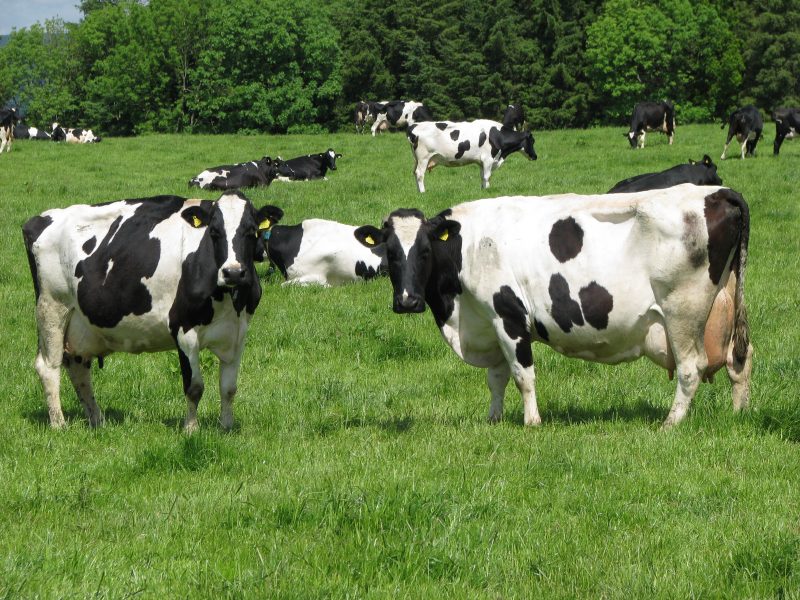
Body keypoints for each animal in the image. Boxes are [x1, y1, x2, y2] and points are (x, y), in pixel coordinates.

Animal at [22, 191, 283, 431]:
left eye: (251, 231)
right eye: (214, 232)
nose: (233, 272)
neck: (230, 298)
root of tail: (41, 218)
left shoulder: (238, 332)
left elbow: (228, 388)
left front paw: (226, 428)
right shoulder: (183, 329)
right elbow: (194, 387)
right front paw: (191, 430)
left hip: (80, 323)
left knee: (78, 368)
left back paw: (98, 421)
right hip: (52, 307)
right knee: (48, 366)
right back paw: (59, 424)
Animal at [354, 184, 752, 429]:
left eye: (425, 251)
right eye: (390, 253)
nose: (407, 301)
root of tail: (716, 192)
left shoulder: (508, 315)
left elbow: (522, 374)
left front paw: (532, 422)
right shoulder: (488, 322)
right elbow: (496, 378)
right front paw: (494, 420)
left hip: (683, 311)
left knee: (691, 367)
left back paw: (670, 424)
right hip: (726, 307)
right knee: (740, 360)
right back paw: (738, 414)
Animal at [407, 120, 536, 192]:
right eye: (532, 141)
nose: (535, 156)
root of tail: (413, 125)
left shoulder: (481, 162)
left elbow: (482, 176)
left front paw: (483, 190)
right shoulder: (488, 159)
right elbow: (487, 176)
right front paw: (487, 189)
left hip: (417, 159)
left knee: (415, 173)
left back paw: (418, 192)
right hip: (423, 158)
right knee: (419, 174)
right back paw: (423, 192)